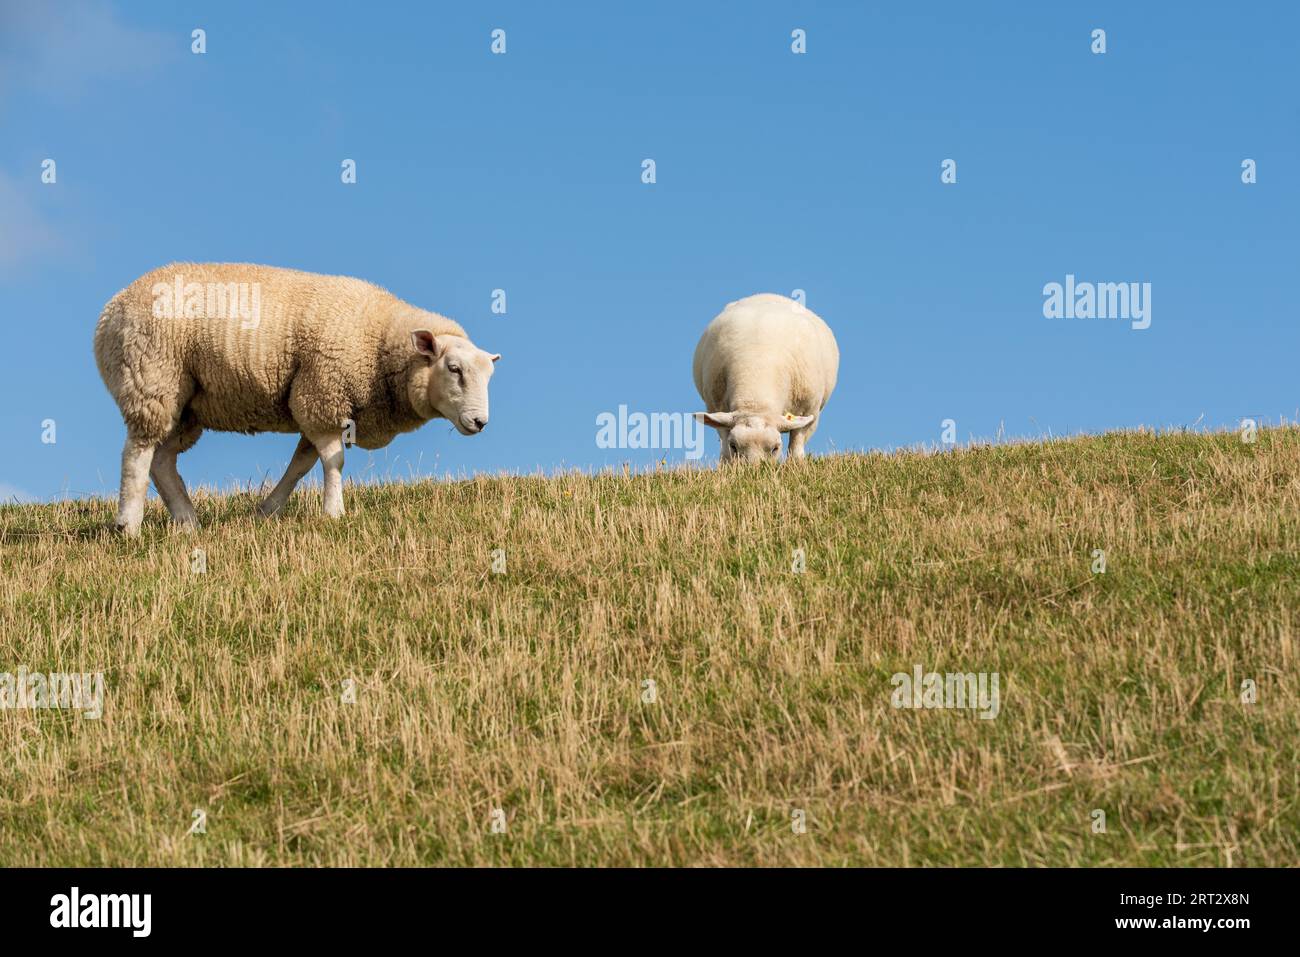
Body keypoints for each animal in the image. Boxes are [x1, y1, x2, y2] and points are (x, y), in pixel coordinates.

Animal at [94, 262, 500, 534]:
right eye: (453, 369)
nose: (480, 422)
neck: (381, 344)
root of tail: (110, 312)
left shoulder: (314, 404)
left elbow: (301, 464)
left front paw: (266, 511)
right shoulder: (321, 395)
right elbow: (333, 462)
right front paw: (334, 513)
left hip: (185, 405)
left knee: (162, 459)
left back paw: (187, 521)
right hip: (151, 379)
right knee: (137, 454)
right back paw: (128, 526)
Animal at [692, 293, 839, 462]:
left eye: (775, 448)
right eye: (734, 446)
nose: (754, 468)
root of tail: (767, 295)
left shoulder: (810, 411)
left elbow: (796, 446)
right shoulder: (716, 407)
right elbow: (725, 447)